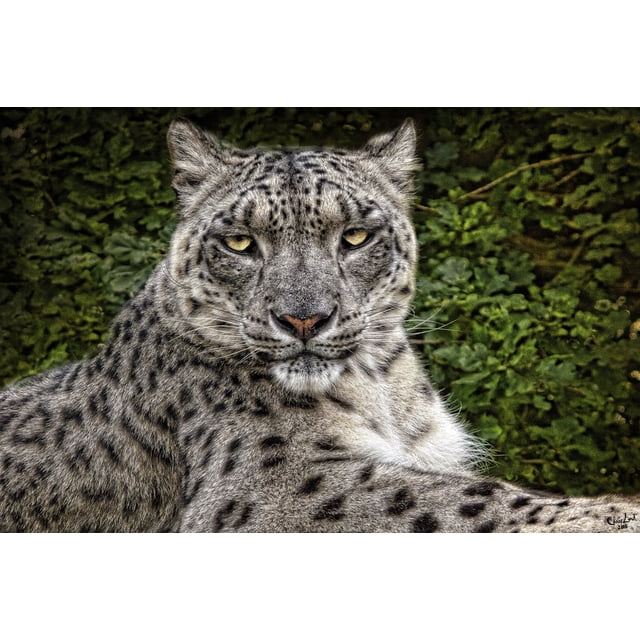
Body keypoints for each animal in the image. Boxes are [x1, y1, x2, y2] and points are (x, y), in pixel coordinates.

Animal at [1, 117, 638, 532]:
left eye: (355, 235)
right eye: (240, 241)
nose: (303, 318)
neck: (383, 391)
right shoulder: (275, 482)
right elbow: (452, 497)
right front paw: (613, 512)